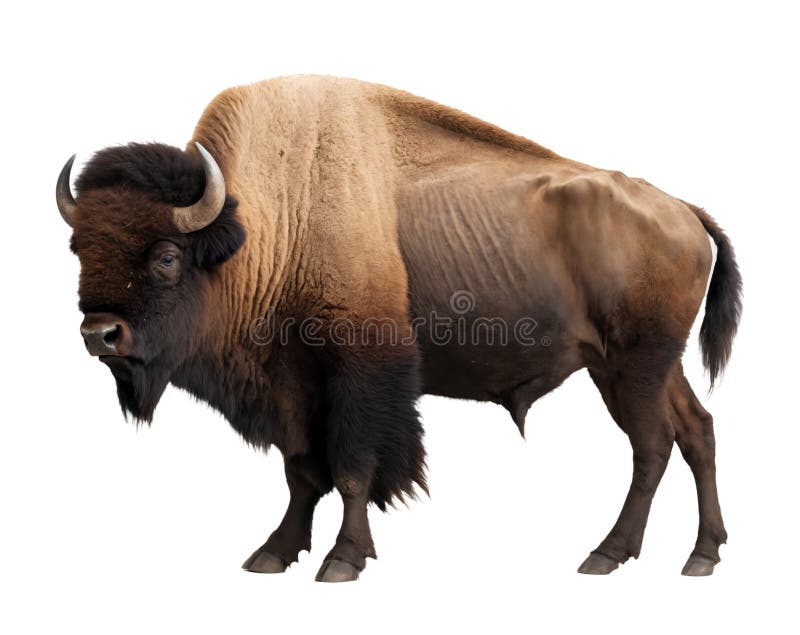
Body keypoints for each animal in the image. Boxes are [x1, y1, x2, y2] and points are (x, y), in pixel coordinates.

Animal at [57, 75, 741, 582]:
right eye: (78, 248)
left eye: (167, 256)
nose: (100, 334)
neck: (269, 225)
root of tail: (683, 211)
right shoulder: (294, 387)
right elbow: (301, 472)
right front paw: (273, 553)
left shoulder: (359, 375)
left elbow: (353, 469)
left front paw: (342, 560)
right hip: (646, 366)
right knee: (697, 431)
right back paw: (701, 555)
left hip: (632, 367)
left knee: (652, 445)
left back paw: (606, 555)